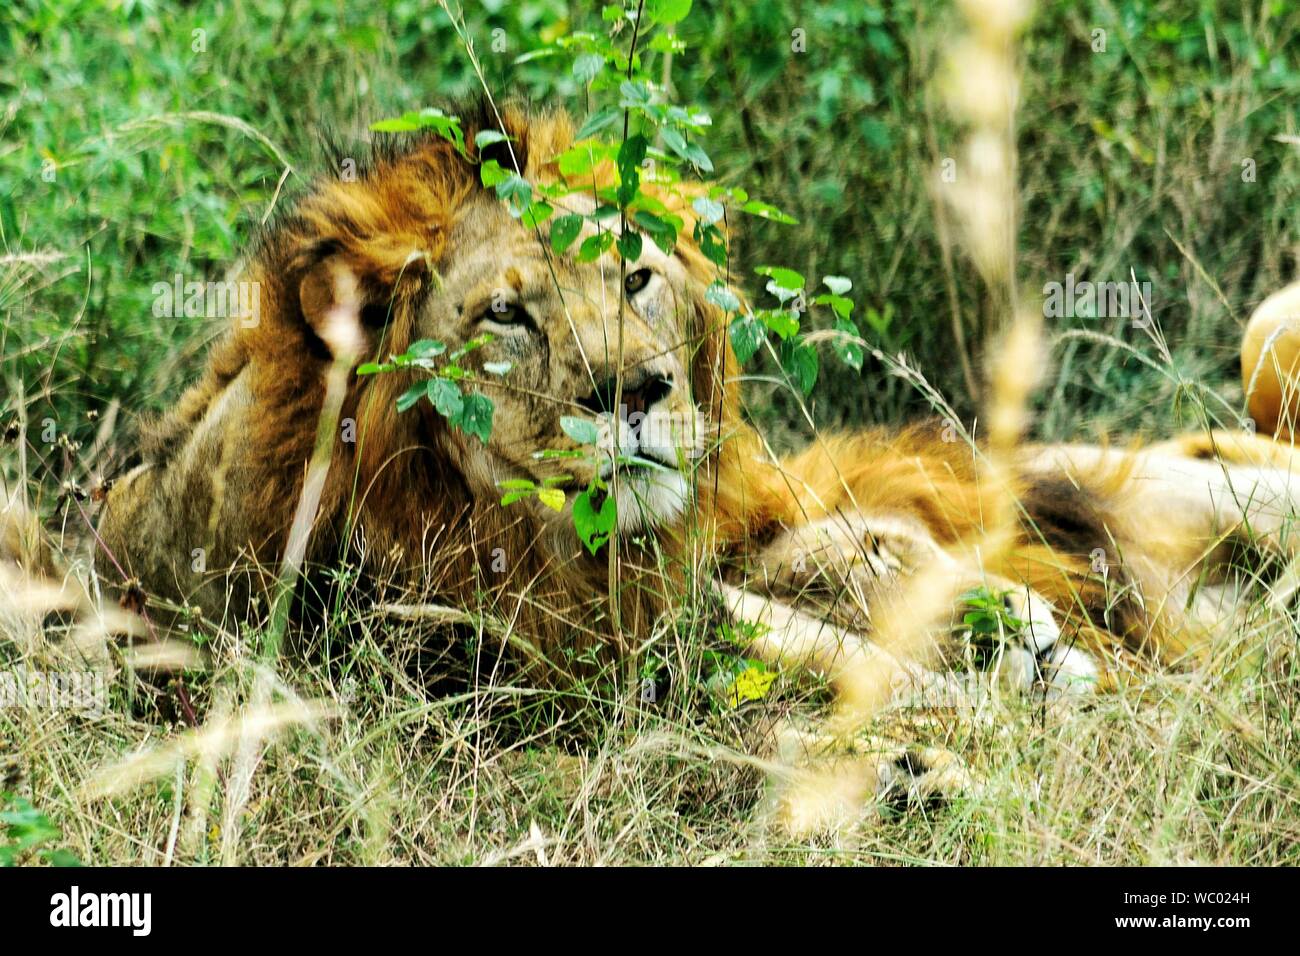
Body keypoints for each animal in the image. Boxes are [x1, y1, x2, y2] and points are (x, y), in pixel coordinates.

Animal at [91, 103, 1300, 719]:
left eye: (635, 276)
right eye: (506, 315)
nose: (637, 390)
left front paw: (999, 639)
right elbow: (830, 648)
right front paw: (986, 678)